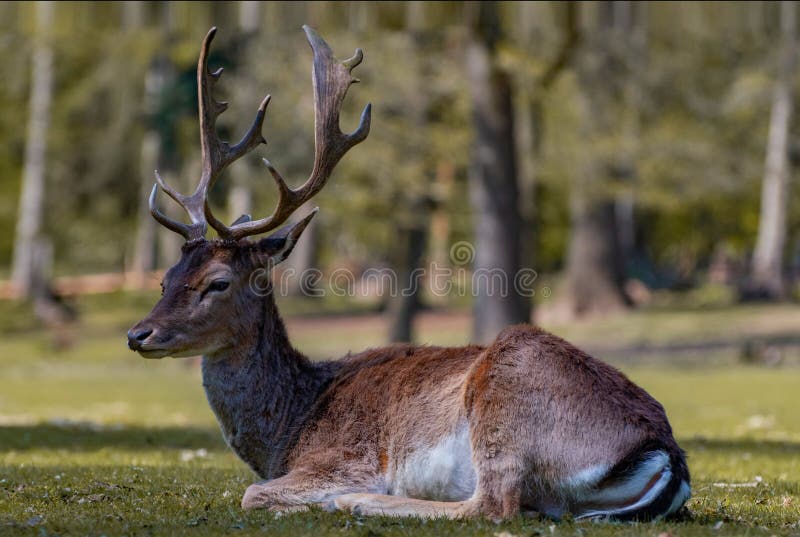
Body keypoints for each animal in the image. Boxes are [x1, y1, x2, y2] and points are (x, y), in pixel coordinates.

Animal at [127, 26, 691, 521]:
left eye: (218, 282)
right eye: (165, 278)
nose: (138, 333)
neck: (290, 427)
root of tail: (666, 454)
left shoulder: (343, 456)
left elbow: (252, 493)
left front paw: (332, 498)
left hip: (508, 394)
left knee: (493, 504)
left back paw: (360, 502)